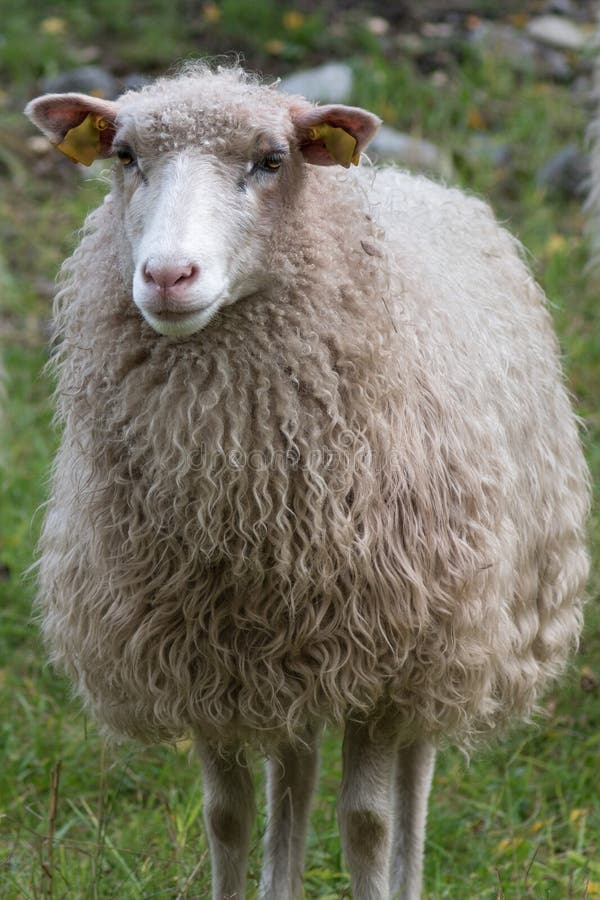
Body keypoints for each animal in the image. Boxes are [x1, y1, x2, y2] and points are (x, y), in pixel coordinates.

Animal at [25, 63, 590, 900]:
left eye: (270, 160)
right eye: (124, 156)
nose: (167, 275)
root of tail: (406, 179)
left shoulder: (392, 656)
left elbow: (367, 823)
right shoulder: (202, 658)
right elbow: (227, 818)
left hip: (453, 628)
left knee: (412, 779)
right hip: (293, 650)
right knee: (294, 772)